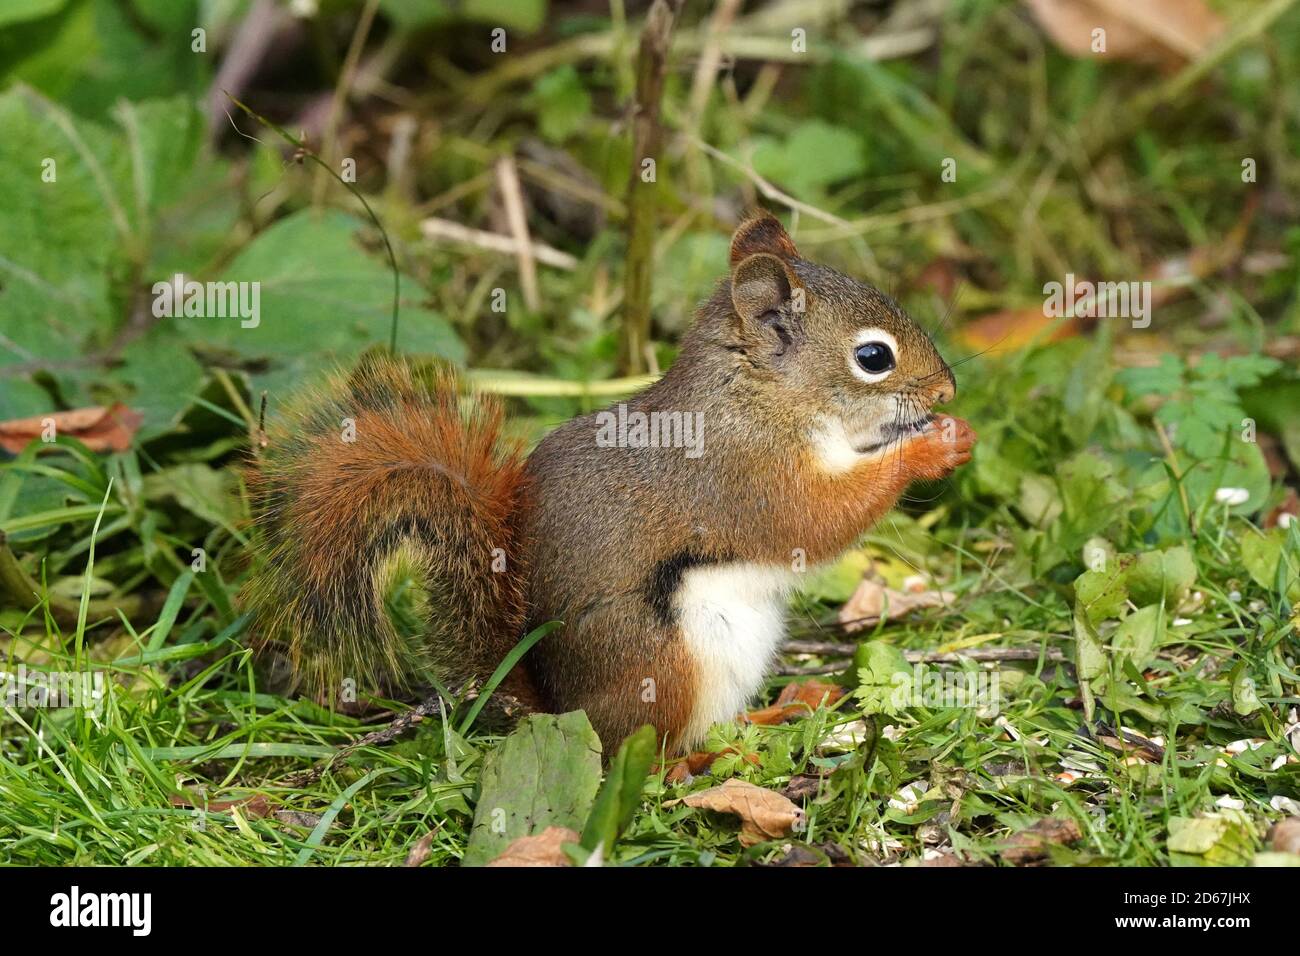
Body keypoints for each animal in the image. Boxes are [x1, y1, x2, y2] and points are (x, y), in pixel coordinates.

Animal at [243, 211, 975, 754]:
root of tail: (557, 709)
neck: (758, 398)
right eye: (873, 357)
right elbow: (815, 519)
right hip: (664, 663)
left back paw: (783, 710)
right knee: (652, 756)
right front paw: (930, 447)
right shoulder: (746, 476)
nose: (947, 389)